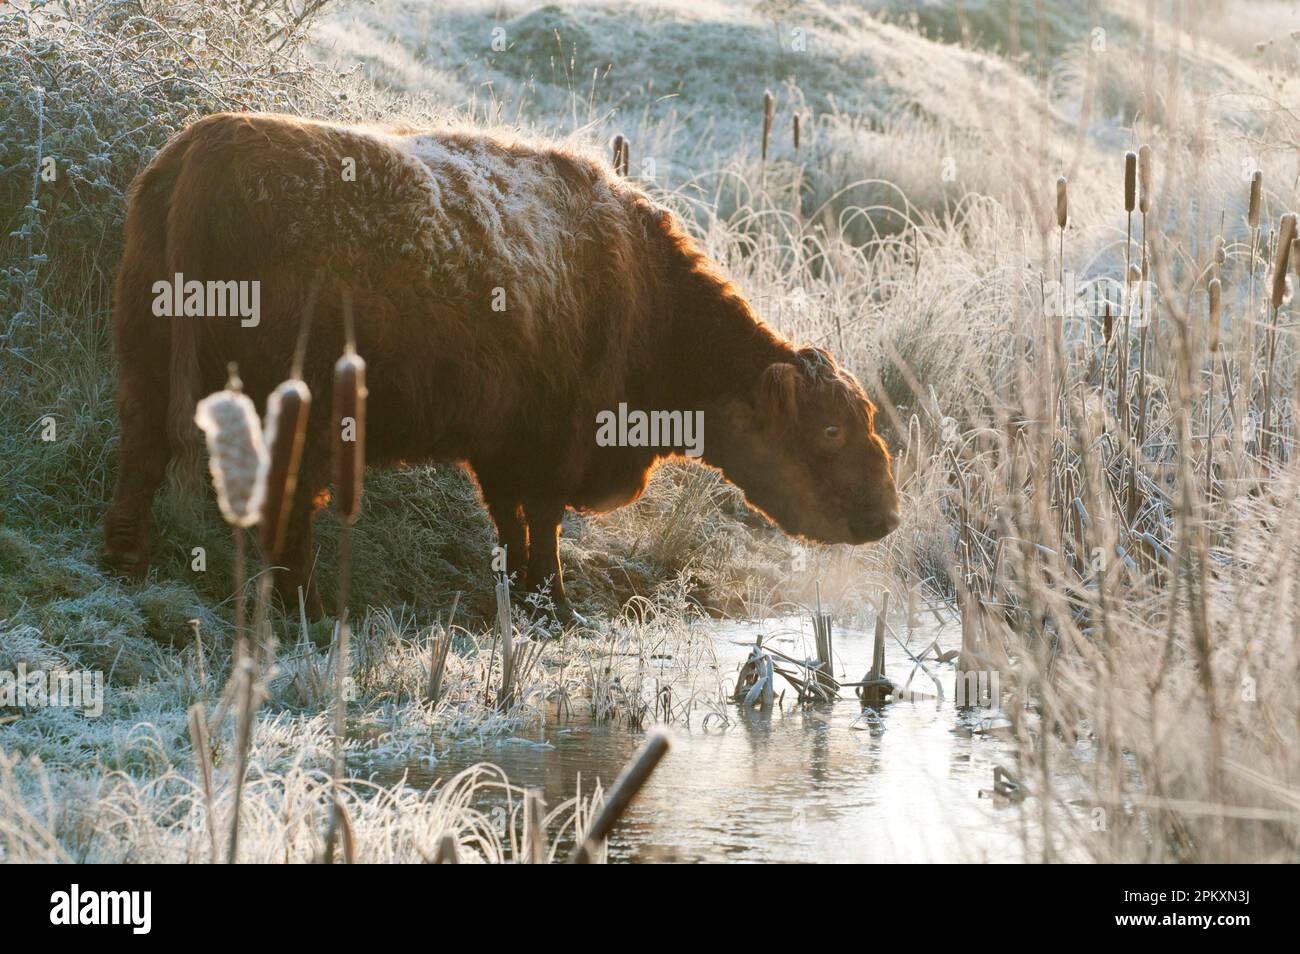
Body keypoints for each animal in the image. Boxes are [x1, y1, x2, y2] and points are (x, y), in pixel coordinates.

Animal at [102, 112, 899, 625]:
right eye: (829, 431)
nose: (887, 515)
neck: (644, 294)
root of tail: (205, 145)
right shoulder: (550, 444)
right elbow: (541, 524)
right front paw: (558, 605)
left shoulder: (501, 446)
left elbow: (511, 523)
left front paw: (527, 597)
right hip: (297, 413)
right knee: (286, 504)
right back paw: (304, 608)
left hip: (146, 377)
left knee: (139, 465)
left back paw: (124, 569)